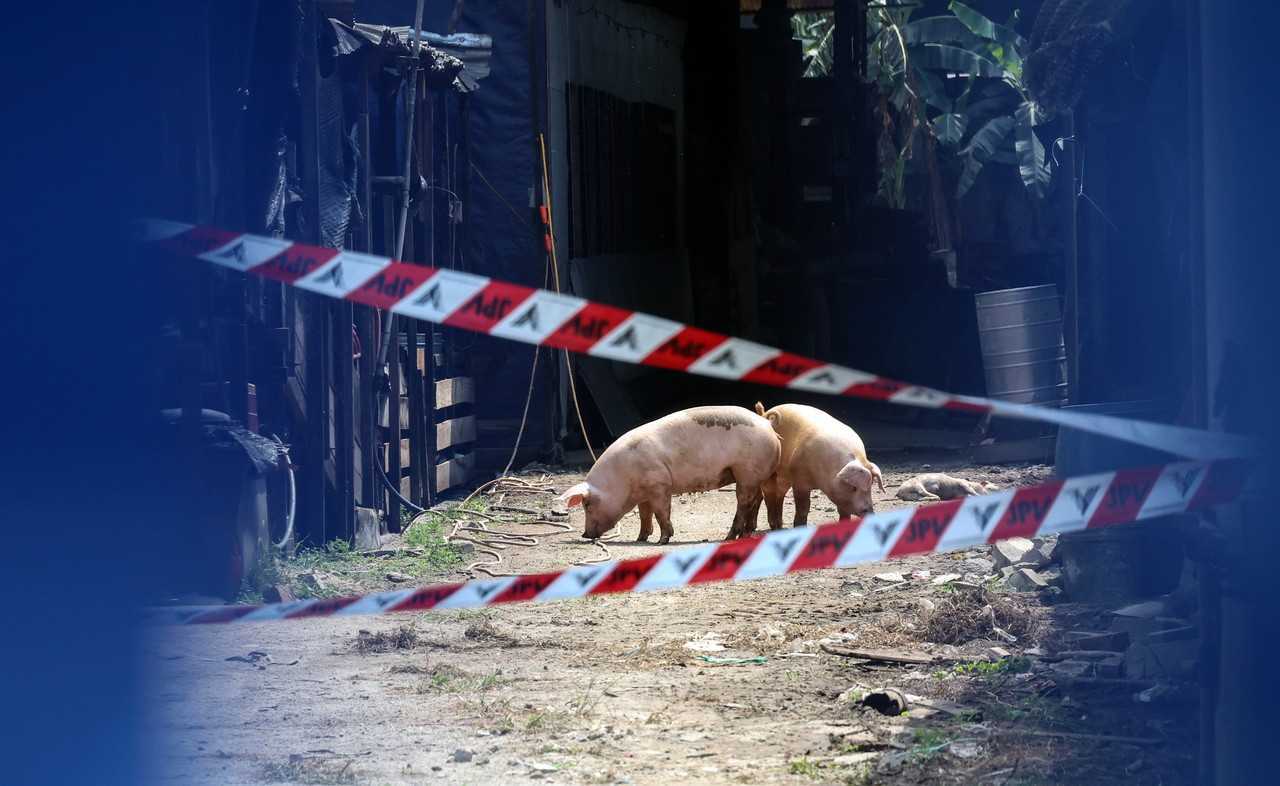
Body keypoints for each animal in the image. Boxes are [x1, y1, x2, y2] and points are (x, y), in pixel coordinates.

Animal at [557, 406, 781, 544]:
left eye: (587, 504)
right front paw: (640, 538)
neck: (622, 480)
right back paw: (745, 534)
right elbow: (645, 514)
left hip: (746, 472)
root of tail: (768, 426)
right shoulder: (644, 491)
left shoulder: (659, 484)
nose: (585, 534)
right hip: (754, 476)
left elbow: (660, 512)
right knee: (756, 499)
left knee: (744, 502)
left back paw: (729, 537)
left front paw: (662, 540)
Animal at [755, 402, 884, 526]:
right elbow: (803, 508)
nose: (870, 511)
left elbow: (844, 512)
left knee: (779, 494)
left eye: (871, 485)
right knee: (769, 493)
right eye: (853, 487)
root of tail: (764, 414)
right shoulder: (800, 479)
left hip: (784, 477)